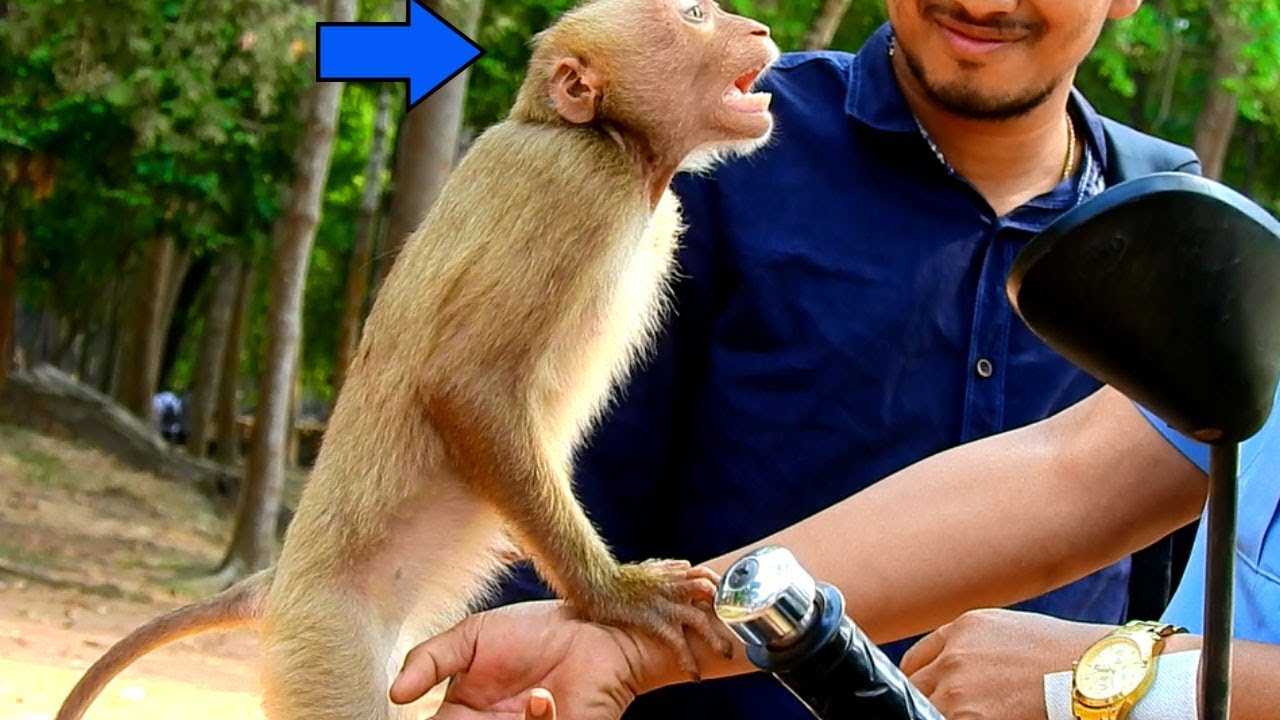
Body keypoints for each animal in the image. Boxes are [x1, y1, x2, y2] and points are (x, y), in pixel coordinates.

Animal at [54, 1, 779, 718]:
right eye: (694, 15)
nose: (761, 28)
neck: (612, 142)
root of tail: (278, 582)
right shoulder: (573, 185)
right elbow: (464, 382)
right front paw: (616, 597)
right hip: (327, 647)